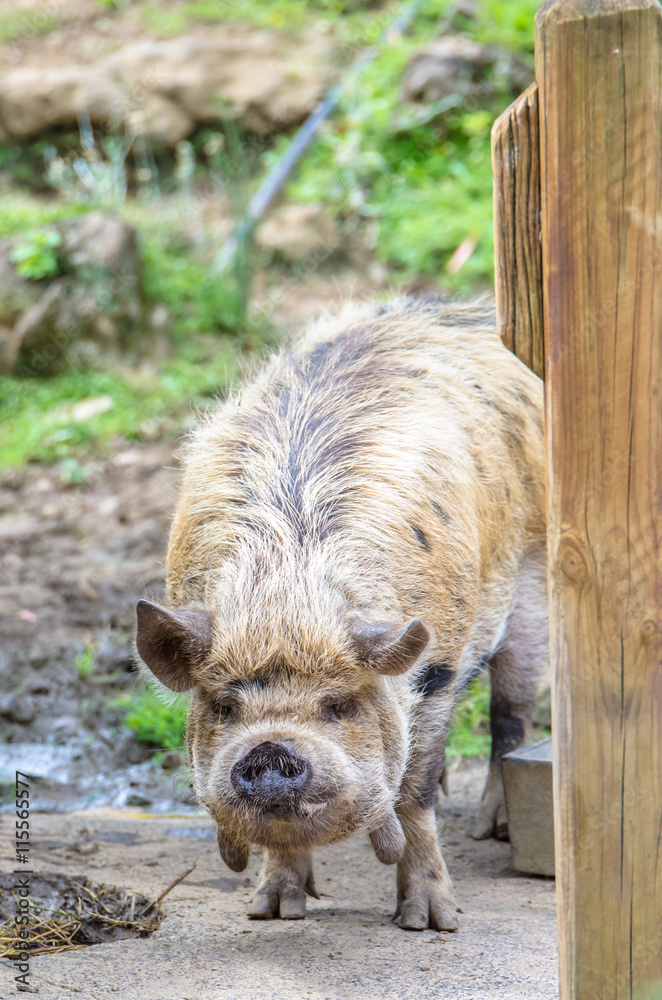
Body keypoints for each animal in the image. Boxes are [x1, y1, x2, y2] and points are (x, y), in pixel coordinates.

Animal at [135, 297, 548, 931]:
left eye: (339, 706)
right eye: (225, 708)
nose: (271, 750)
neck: (284, 599)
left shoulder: (440, 666)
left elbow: (415, 792)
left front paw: (429, 923)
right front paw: (273, 912)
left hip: (532, 582)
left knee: (511, 713)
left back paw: (491, 832)